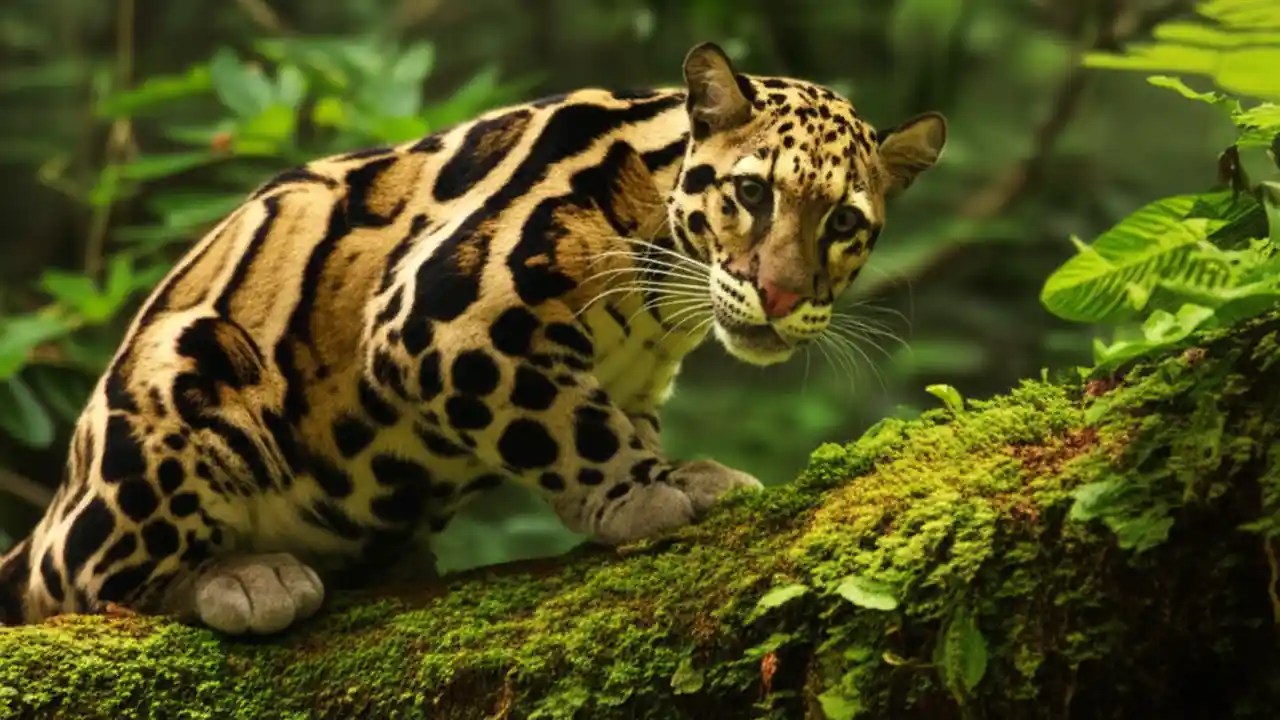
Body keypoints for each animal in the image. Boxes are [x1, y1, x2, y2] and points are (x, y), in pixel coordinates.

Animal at [0, 42, 945, 635]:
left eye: (844, 223)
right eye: (752, 194)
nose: (782, 295)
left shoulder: (629, 381)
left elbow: (613, 419)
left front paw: (667, 474)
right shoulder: (444, 316)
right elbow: (571, 422)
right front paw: (642, 495)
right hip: (176, 370)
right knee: (93, 582)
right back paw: (242, 577)